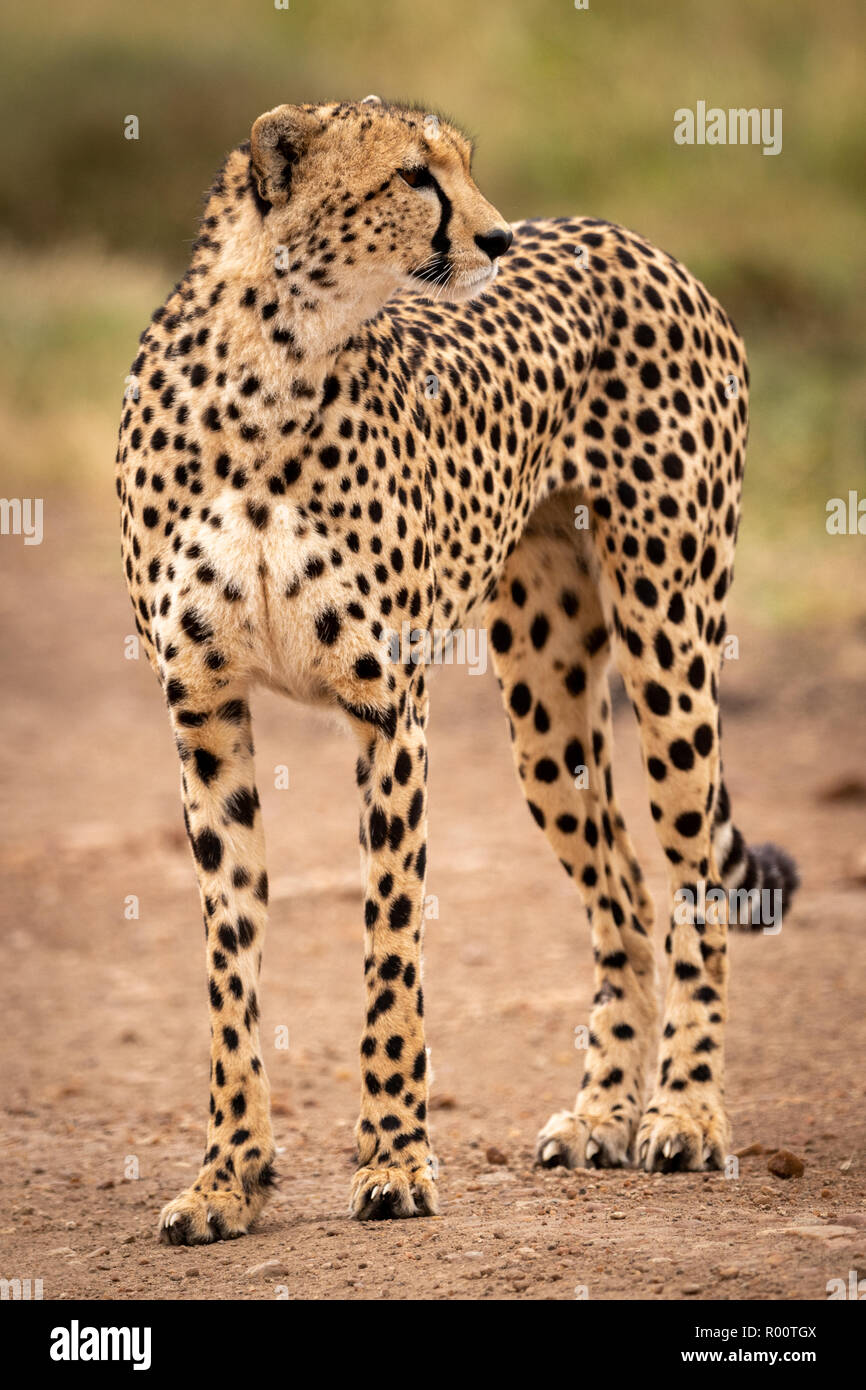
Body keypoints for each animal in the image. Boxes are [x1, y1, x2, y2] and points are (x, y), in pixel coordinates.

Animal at [115, 97, 799, 1241]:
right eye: (412, 176)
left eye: (462, 166)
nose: (498, 238)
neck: (271, 368)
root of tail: (632, 239)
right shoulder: (202, 706)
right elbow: (229, 959)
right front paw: (226, 1177)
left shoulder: (386, 703)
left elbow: (391, 949)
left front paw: (394, 1160)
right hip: (547, 714)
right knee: (622, 893)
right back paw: (599, 1112)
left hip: (669, 641)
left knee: (694, 876)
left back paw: (684, 1113)